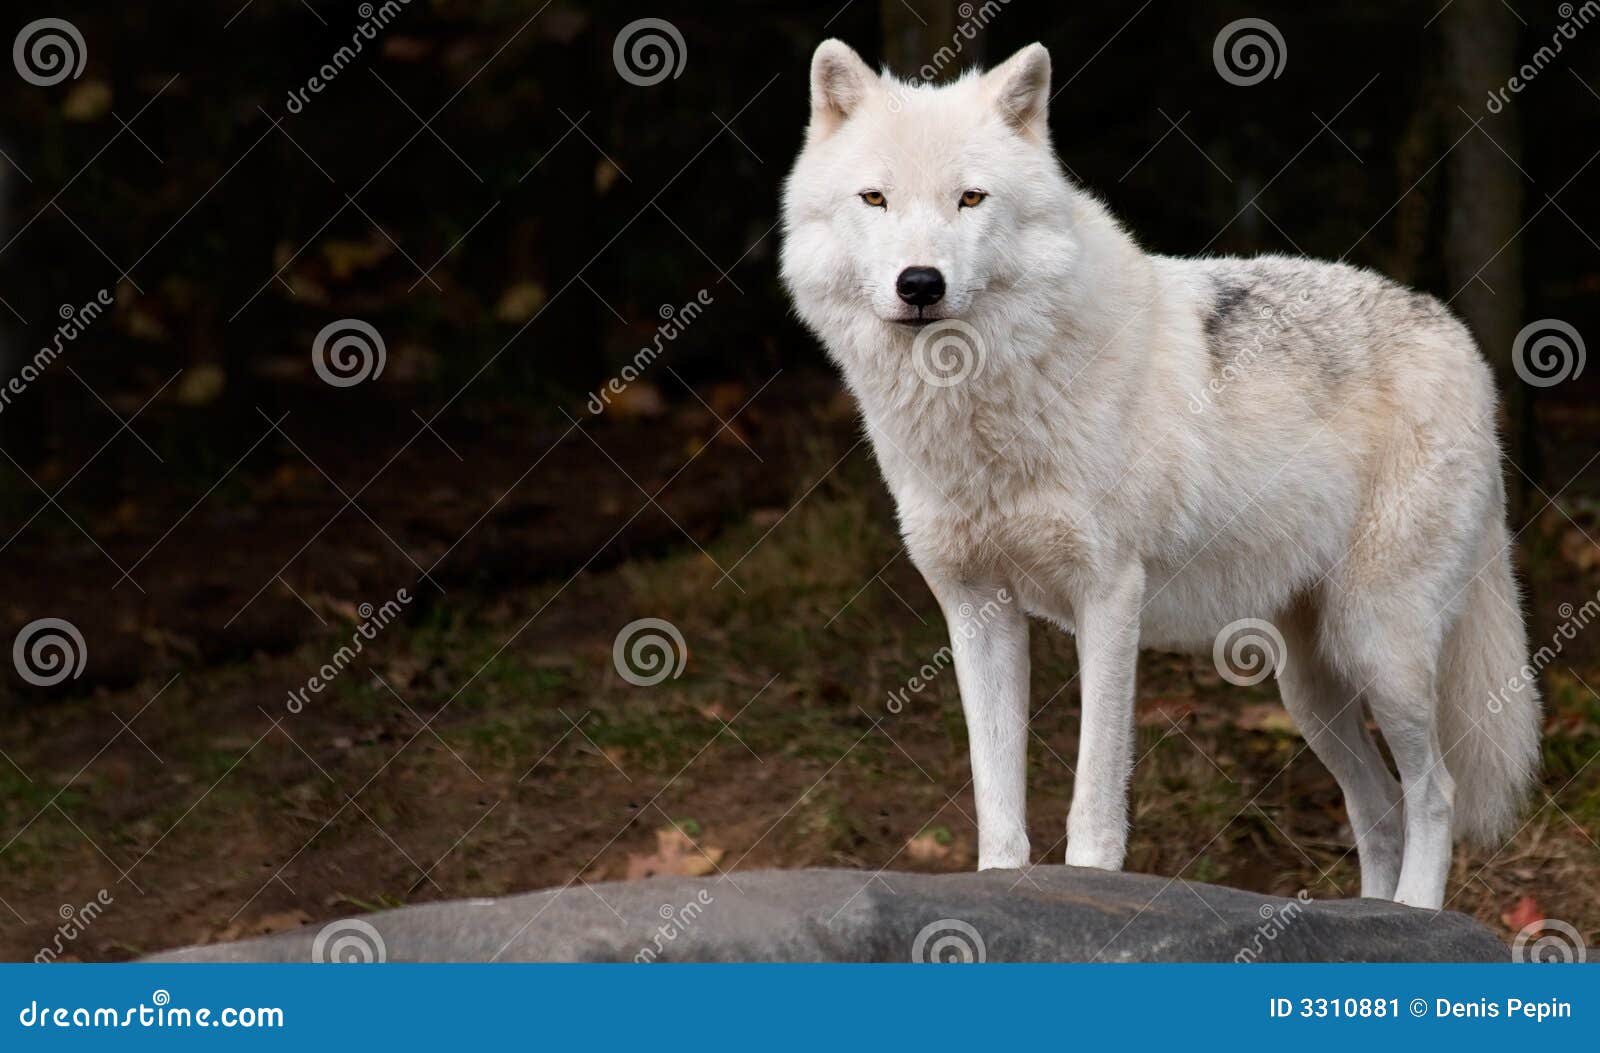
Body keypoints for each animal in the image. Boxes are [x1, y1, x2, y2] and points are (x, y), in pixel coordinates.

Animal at [779, 40, 1540, 909]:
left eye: (970, 198)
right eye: (875, 198)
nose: (920, 283)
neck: (983, 417)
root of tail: (1458, 336)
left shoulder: (1111, 593)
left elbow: (1093, 798)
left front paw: (1085, 886)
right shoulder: (975, 606)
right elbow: (996, 798)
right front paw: (1000, 887)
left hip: (1381, 646)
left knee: (1434, 792)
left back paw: (1412, 913)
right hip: (1310, 688)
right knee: (1379, 809)